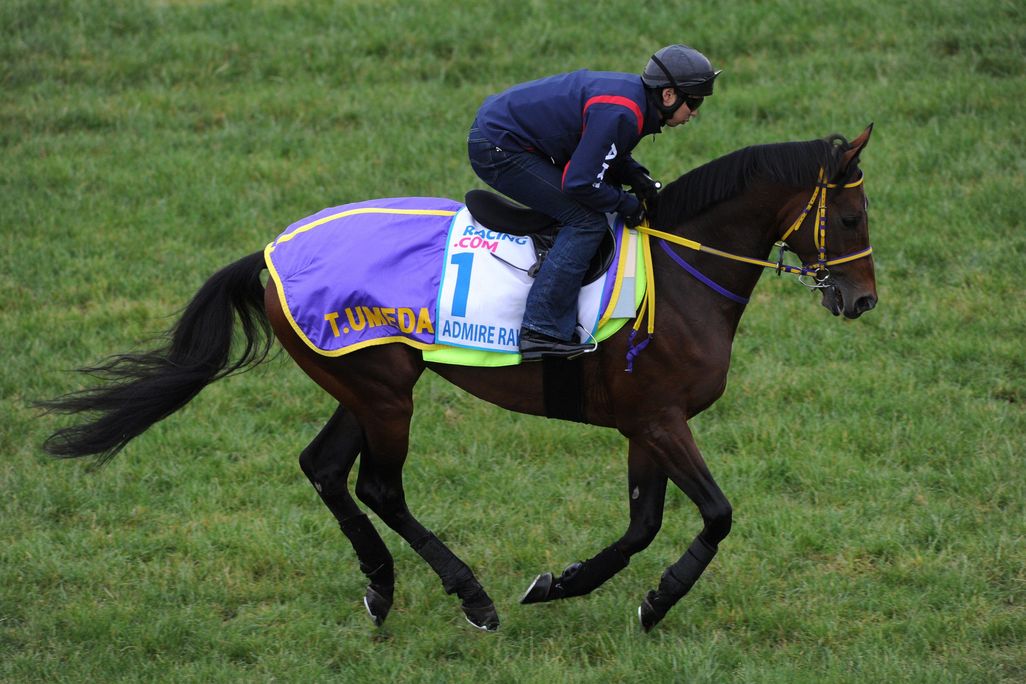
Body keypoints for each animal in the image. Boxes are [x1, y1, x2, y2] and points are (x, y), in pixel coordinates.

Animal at [40, 125, 877, 632]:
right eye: (855, 218)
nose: (862, 300)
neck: (680, 276)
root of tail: (270, 253)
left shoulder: (647, 424)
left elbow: (642, 524)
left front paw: (567, 583)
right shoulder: (661, 420)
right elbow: (716, 515)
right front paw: (651, 603)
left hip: (367, 385)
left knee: (324, 468)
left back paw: (380, 586)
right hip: (385, 391)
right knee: (378, 487)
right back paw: (469, 594)